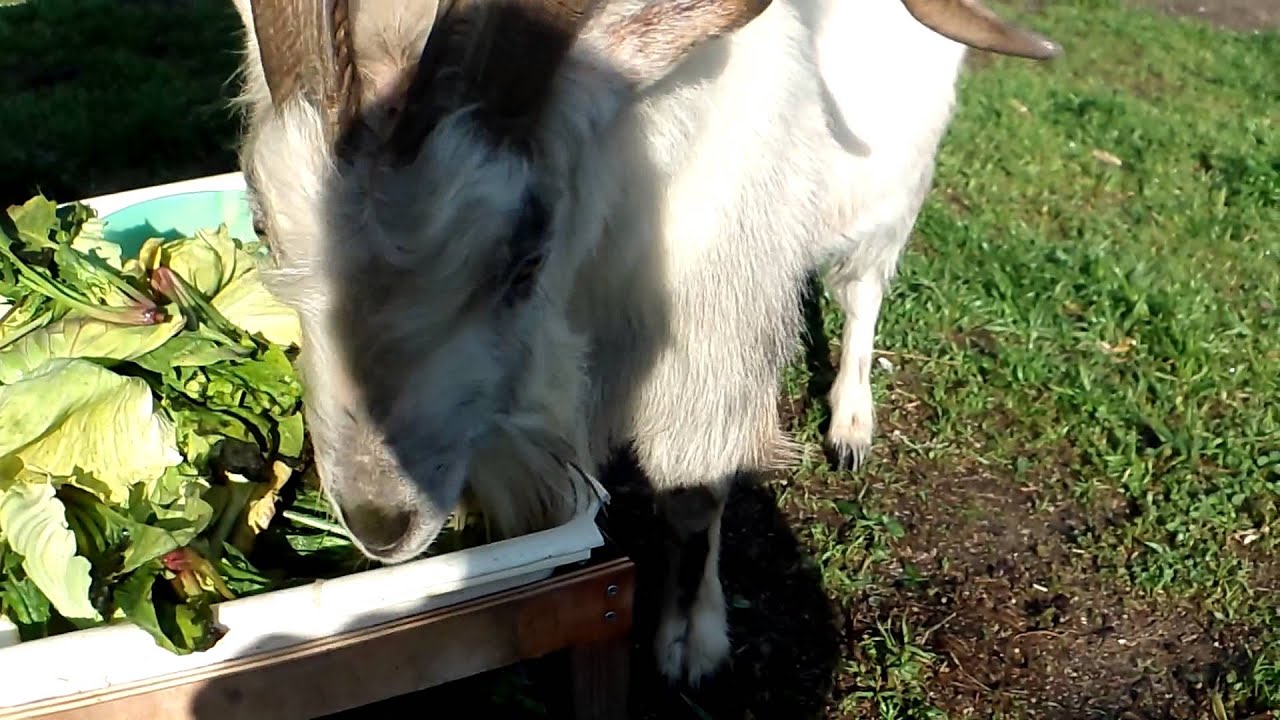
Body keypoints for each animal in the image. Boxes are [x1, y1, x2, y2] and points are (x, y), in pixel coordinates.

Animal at [228, 0, 1059, 686]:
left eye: (526, 255)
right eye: (262, 223)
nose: (379, 522)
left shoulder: (708, 337)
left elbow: (694, 495)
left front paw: (691, 643)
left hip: (889, 197)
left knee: (862, 295)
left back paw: (851, 423)